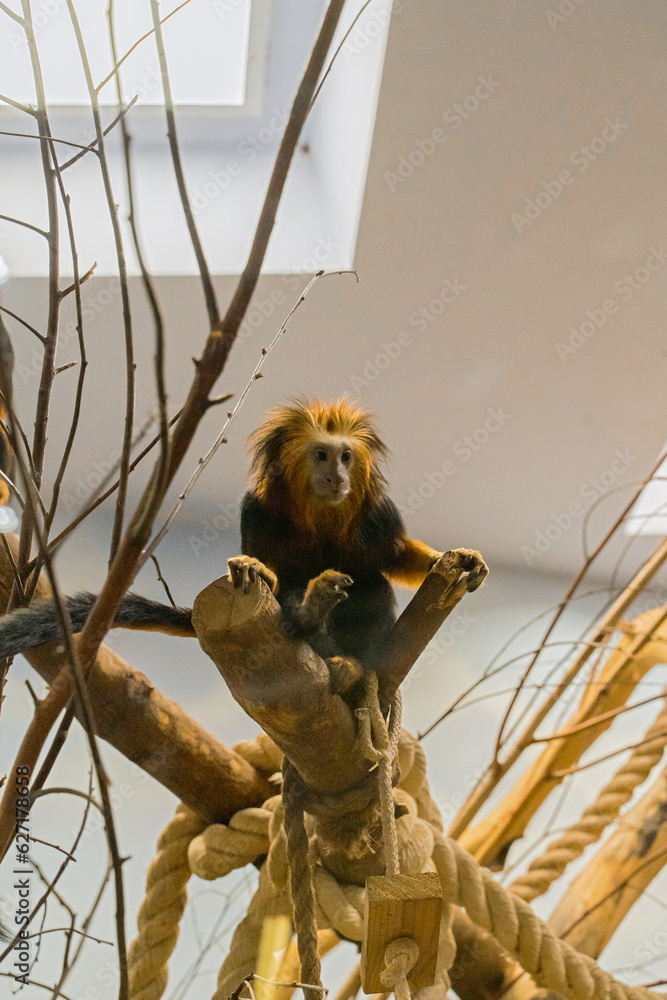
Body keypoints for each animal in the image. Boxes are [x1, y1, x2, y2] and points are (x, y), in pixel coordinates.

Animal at [0, 397, 487, 692]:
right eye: (322, 455)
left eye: (346, 456)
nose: (338, 476)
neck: (321, 513)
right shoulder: (256, 509)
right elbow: (274, 576)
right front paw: (263, 573)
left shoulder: (377, 513)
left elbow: (393, 558)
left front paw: (456, 559)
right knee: (298, 597)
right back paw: (311, 615)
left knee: (372, 585)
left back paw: (353, 664)